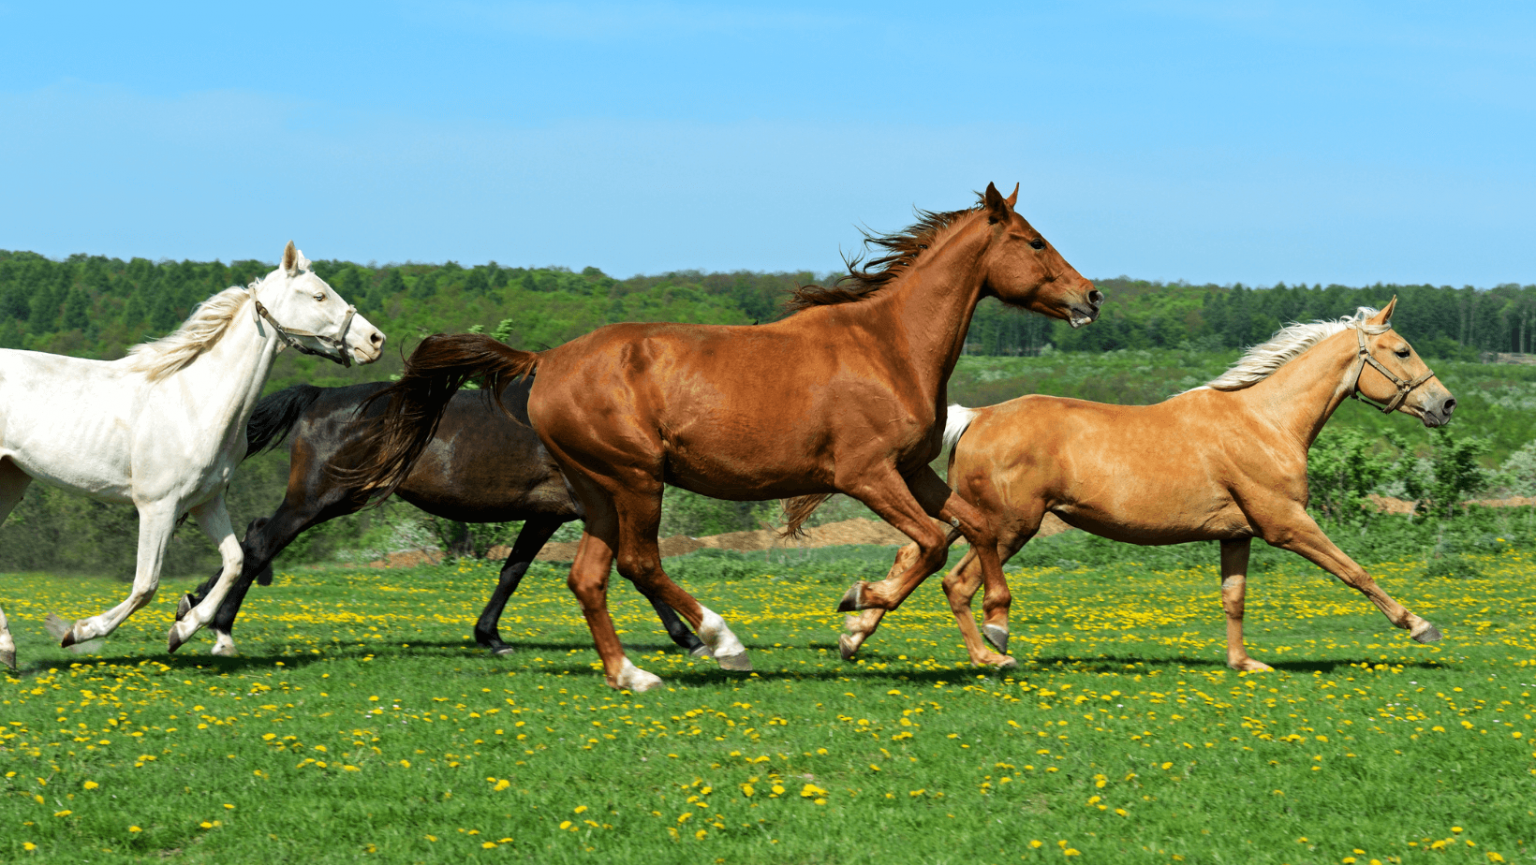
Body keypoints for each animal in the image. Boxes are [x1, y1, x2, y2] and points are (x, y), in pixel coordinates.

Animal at [0, 243, 384, 669]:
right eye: (319, 296)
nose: (375, 339)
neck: (197, 402)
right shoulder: (157, 506)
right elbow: (146, 585)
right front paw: (78, 632)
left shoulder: (206, 500)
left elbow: (235, 561)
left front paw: (184, 628)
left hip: (10, 480)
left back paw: (7, 648)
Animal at [179, 380, 705, 658]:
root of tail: (321, 395)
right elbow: (636, 570)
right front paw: (689, 637)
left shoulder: (545, 515)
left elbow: (512, 570)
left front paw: (490, 636)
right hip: (320, 499)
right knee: (261, 543)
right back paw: (219, 627)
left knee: (252, 538)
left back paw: (196, 605)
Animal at [349, 183, 1103, 691]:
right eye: (1034, 241)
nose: (1091, 296)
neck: (888, 346)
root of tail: (546, 360)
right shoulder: (865, 474)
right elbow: (932, 542)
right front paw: (859, 609)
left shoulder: (914, 470)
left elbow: (975, 526)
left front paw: (993, 634)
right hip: (636, 479)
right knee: (640, 563)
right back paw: (720, 641)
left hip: (594, 491)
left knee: (587, 577)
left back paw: (632, 675)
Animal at [832, 300, 1455, 671]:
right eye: (1402, 350)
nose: (1445, 404)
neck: (1266, 422)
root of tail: (976, 417)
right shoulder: (1286, 523)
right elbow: (1355, 571)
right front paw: (1421, 626)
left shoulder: (1238, 534)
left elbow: (1234, 599)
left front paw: (1244, 664)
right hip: (1010, 526)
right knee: (956, 583)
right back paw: (991, 654)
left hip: (975, 518)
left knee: (914, 557)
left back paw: (856, 626)